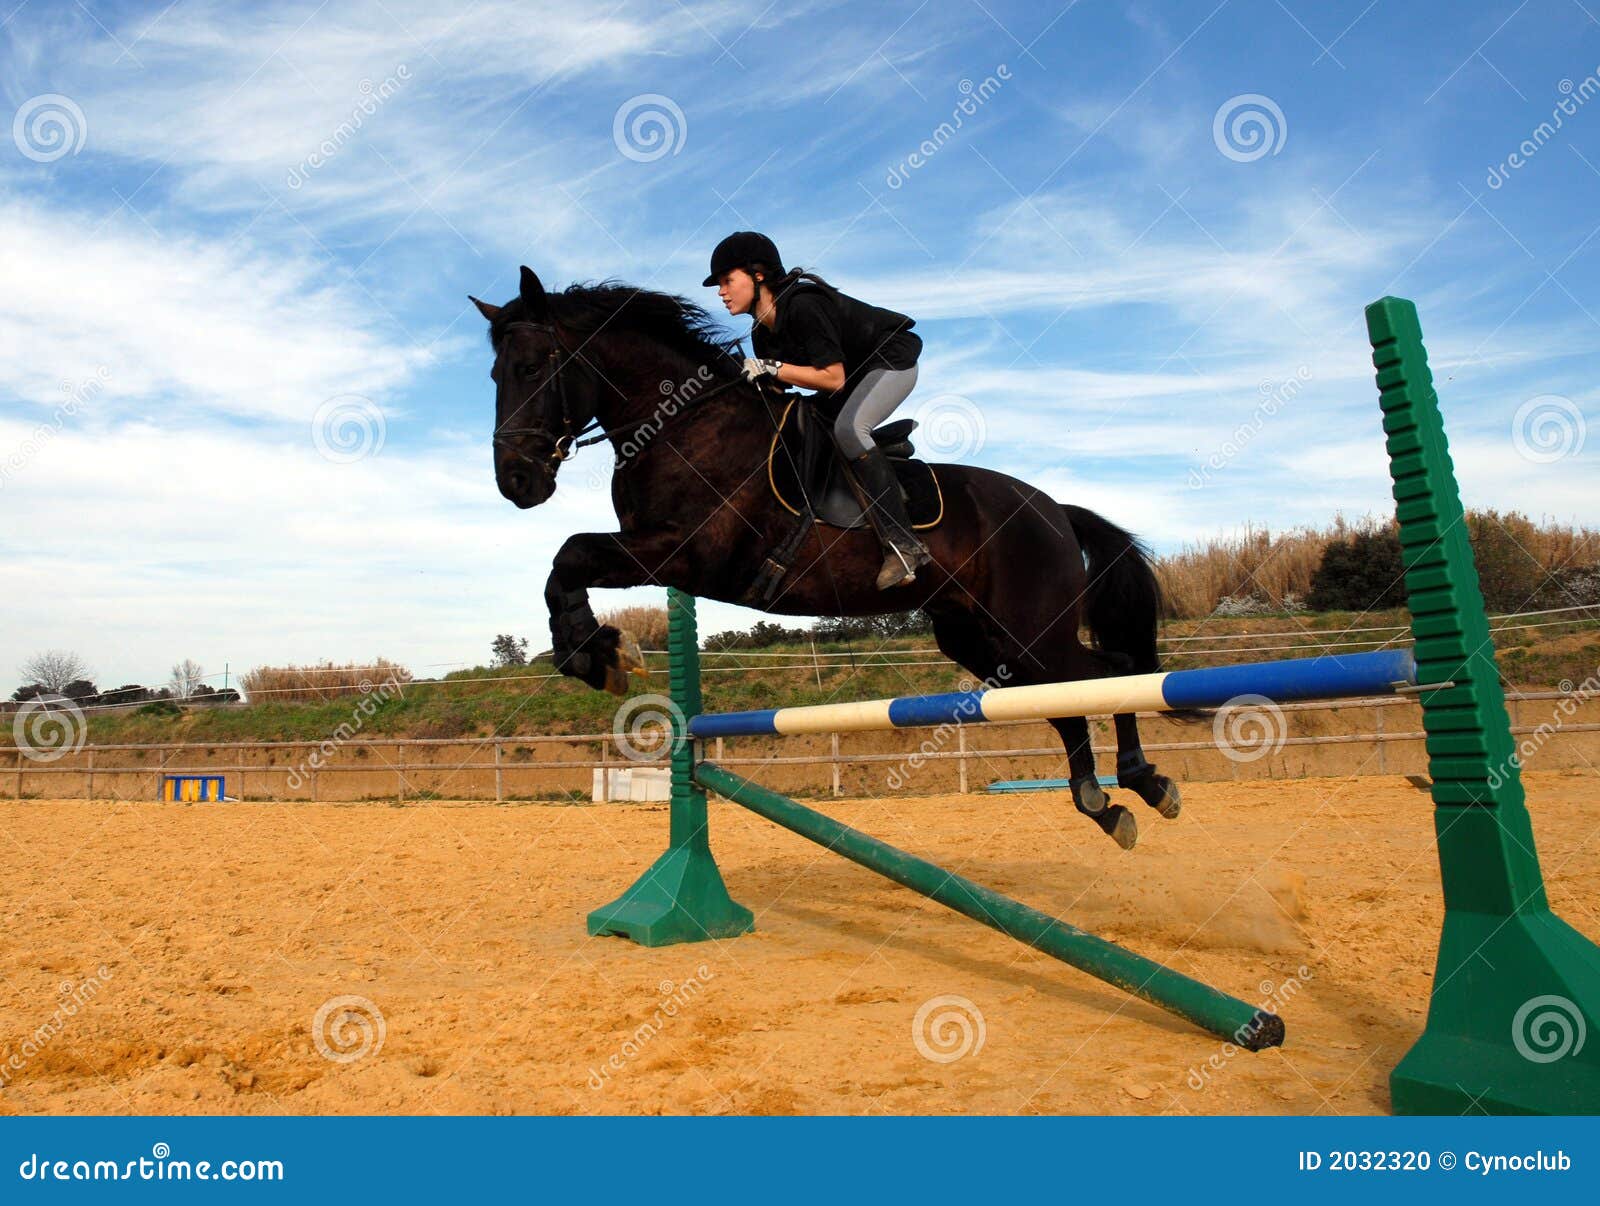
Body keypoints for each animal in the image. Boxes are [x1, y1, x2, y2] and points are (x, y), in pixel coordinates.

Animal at [472, 266, 1183, 847]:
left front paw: (600, 654)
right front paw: (592, 654)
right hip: (980, 638)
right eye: (495, 375)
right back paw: (1103, 801)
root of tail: (1054, 510)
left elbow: (571, 555)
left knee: (1113, 672)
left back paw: (1143, 782)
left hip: (1031, 629)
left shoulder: (685, 554)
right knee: (1068, 696)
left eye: (531, 368)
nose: (516, 482)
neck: (680, 422)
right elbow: (566, 565)